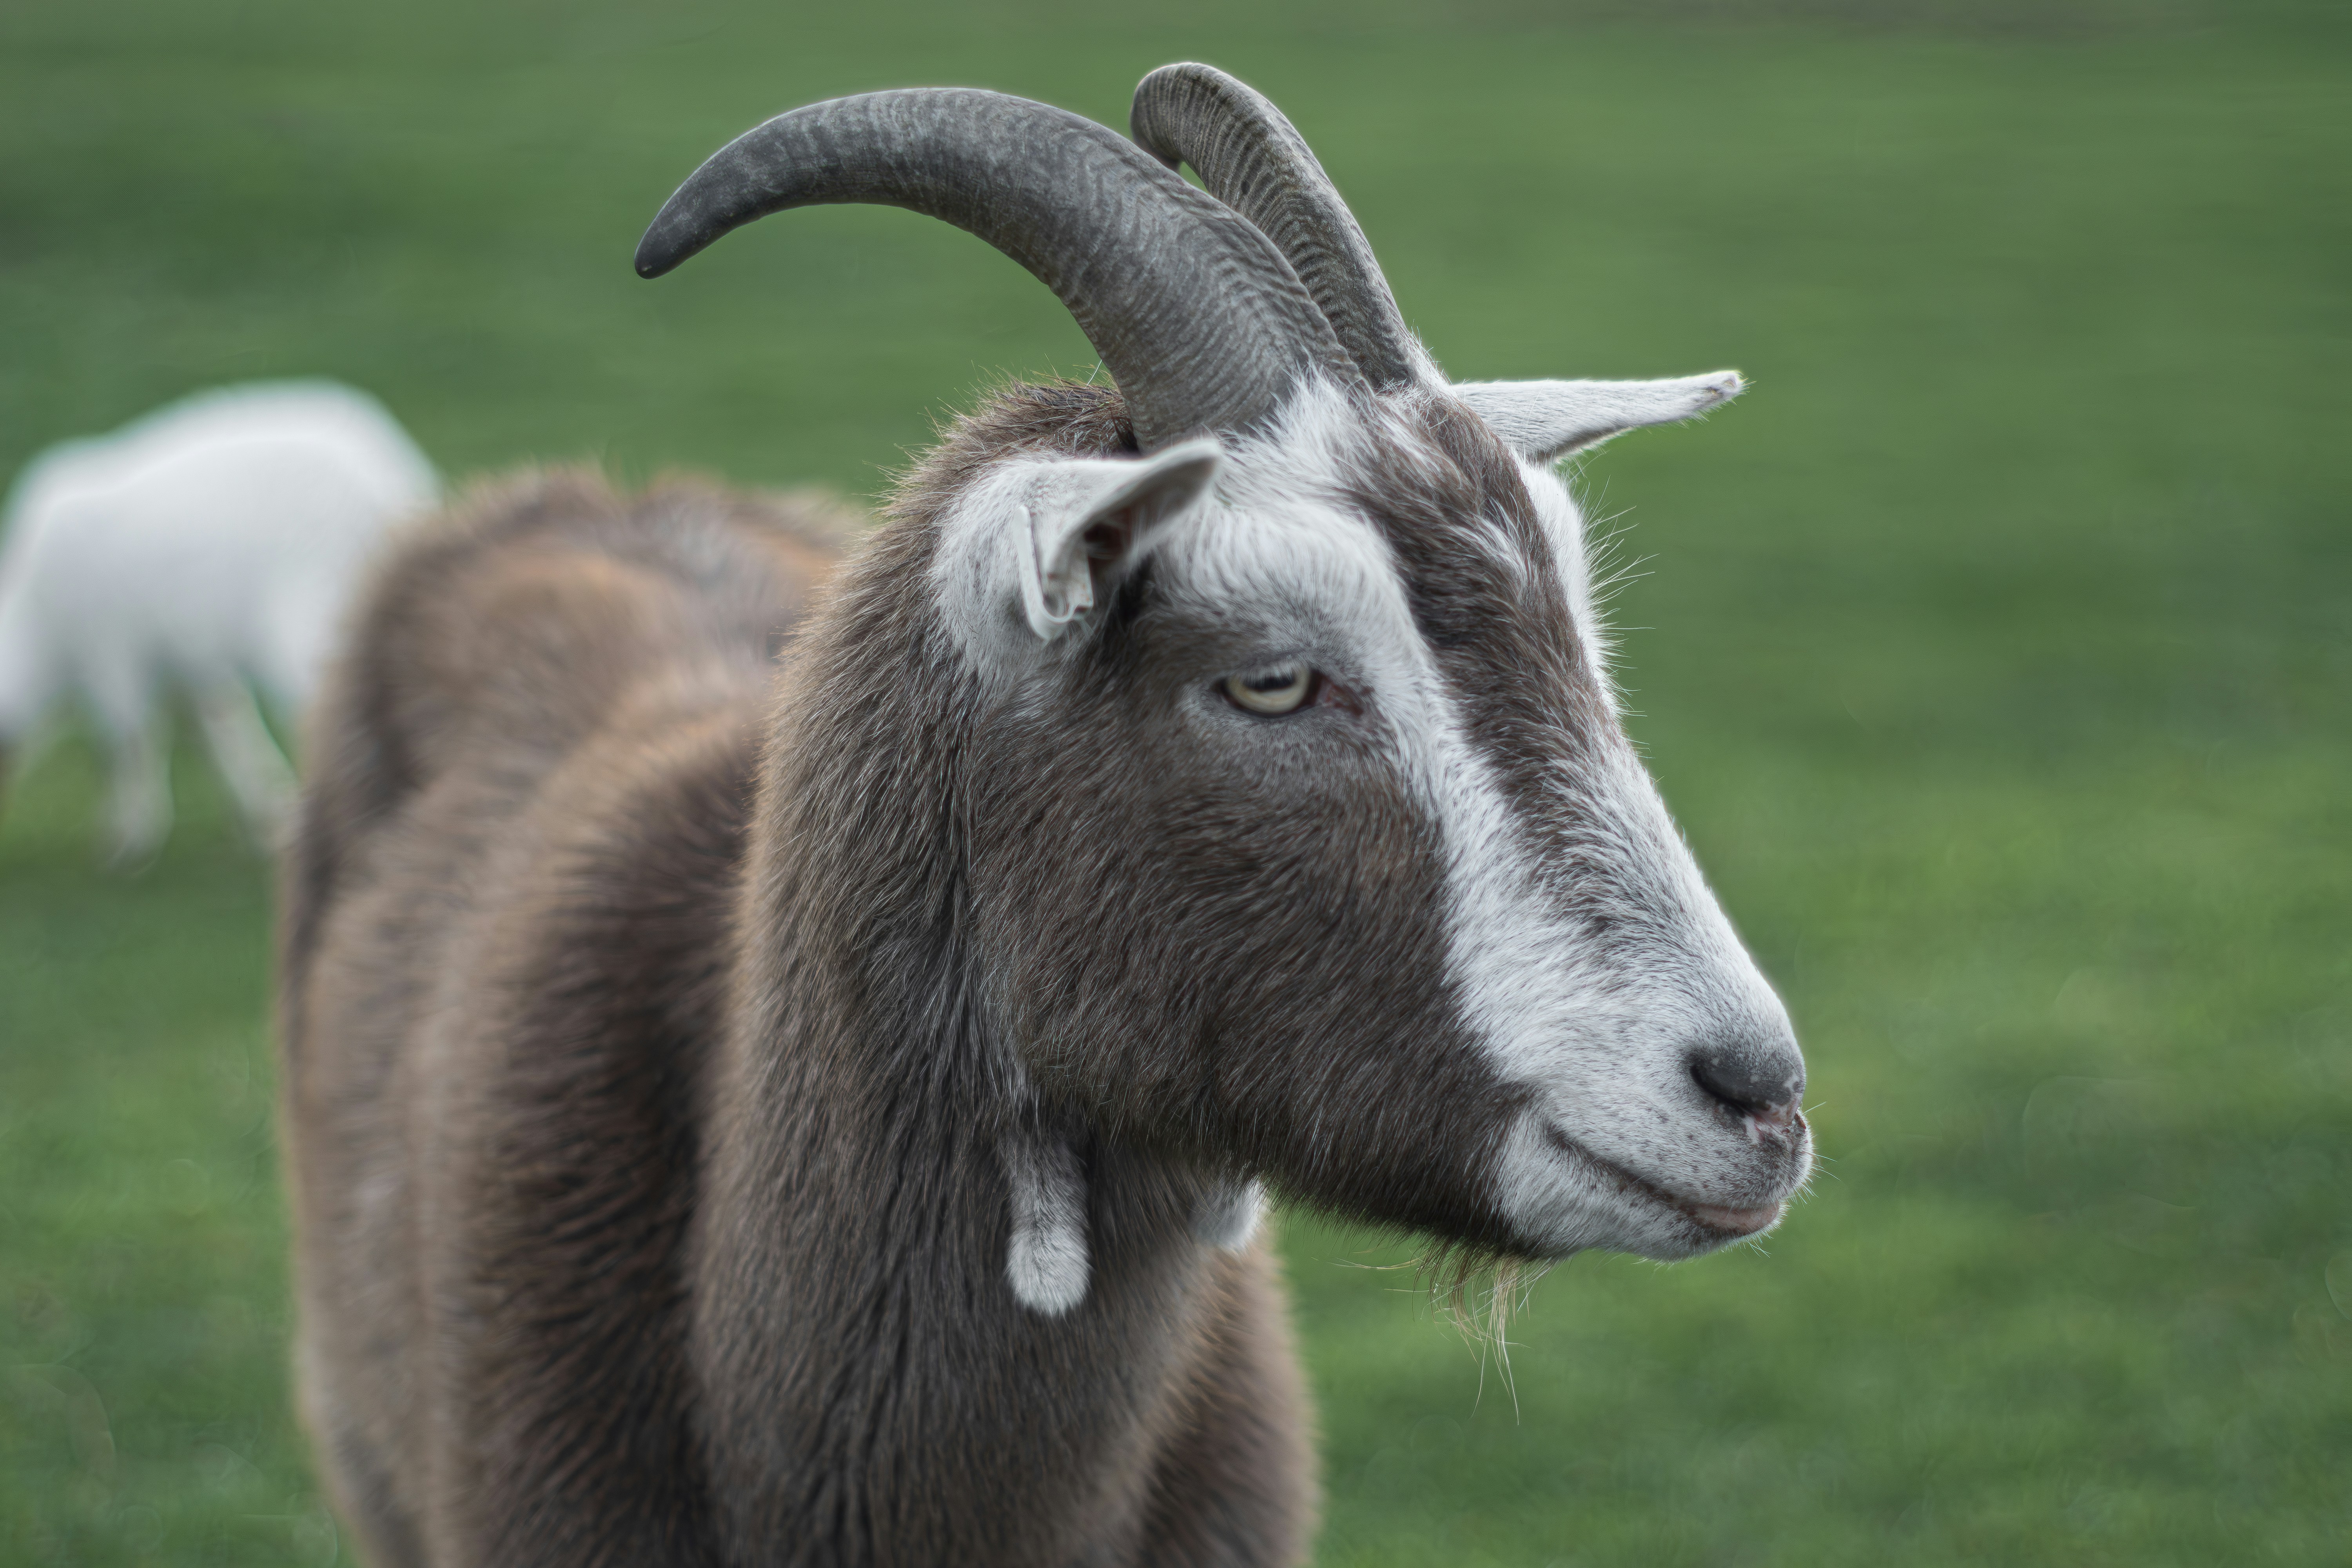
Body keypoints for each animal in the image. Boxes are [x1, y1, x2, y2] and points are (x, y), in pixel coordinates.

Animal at [0, 380, 436, 863]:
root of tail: (387, 482)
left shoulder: (110, 656)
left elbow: (129, 744)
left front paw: (129, 838)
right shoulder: (189, 662)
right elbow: (221, 731)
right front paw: (264, 814)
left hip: (315, 609)